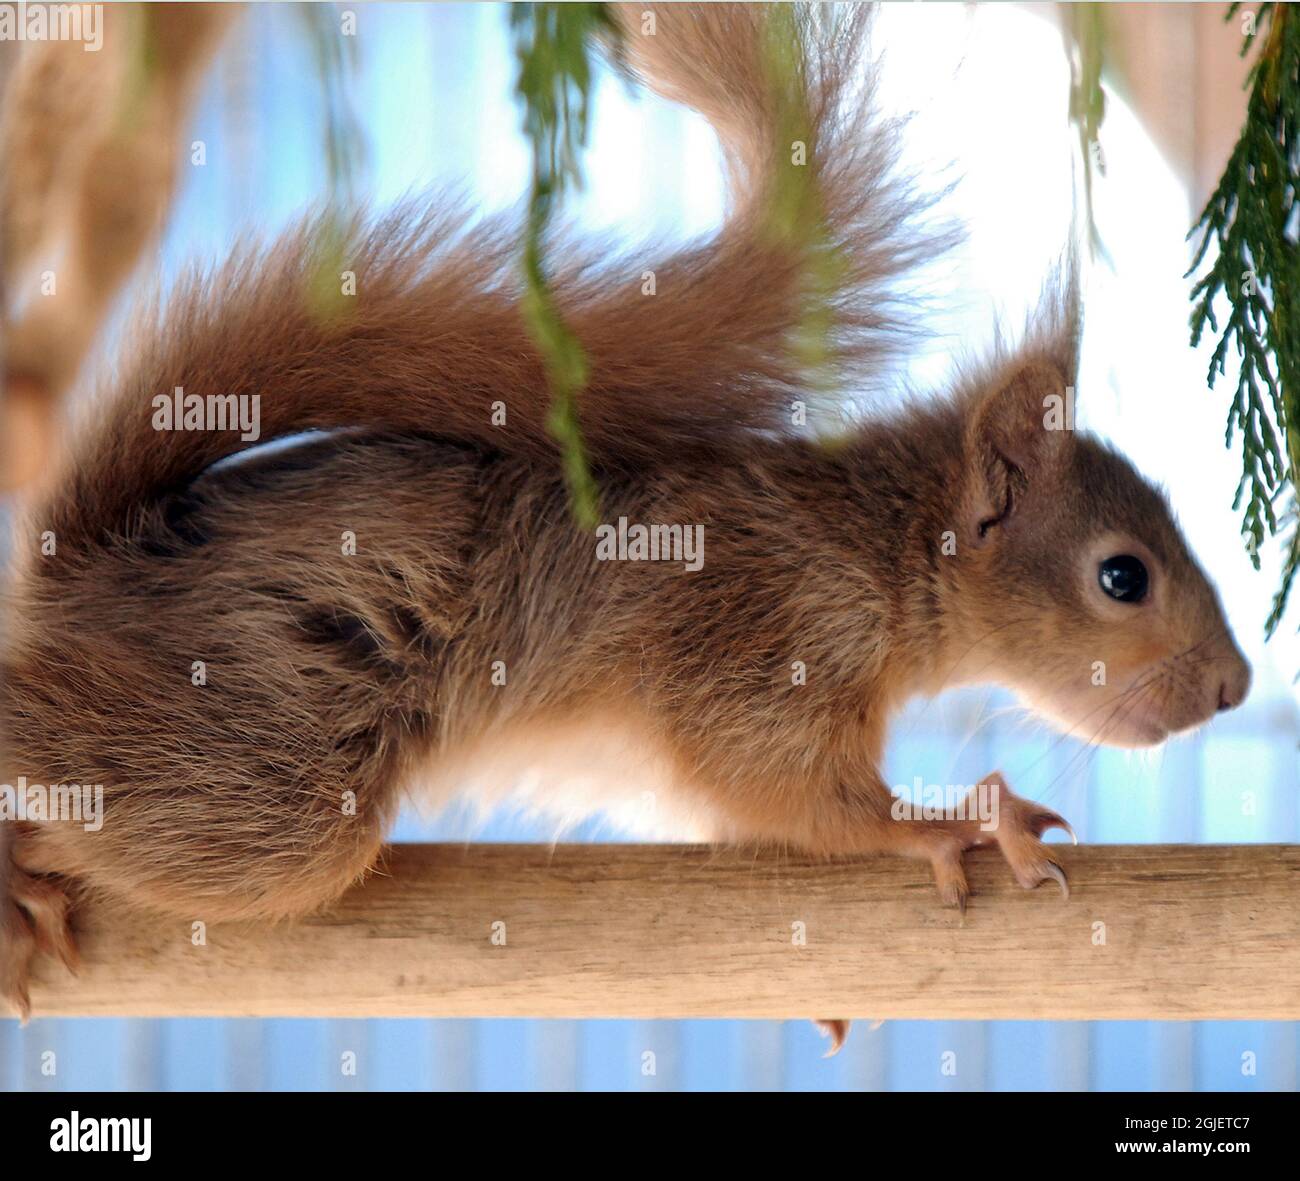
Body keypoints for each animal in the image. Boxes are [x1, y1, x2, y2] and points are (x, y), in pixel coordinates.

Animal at [0, 3, 1251, 1032]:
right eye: (1123, 576)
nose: (1235, 688)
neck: (872, 541)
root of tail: (76, 578)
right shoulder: (758, 633)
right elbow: (793, 791)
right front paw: (955, 821)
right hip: (258, 777)